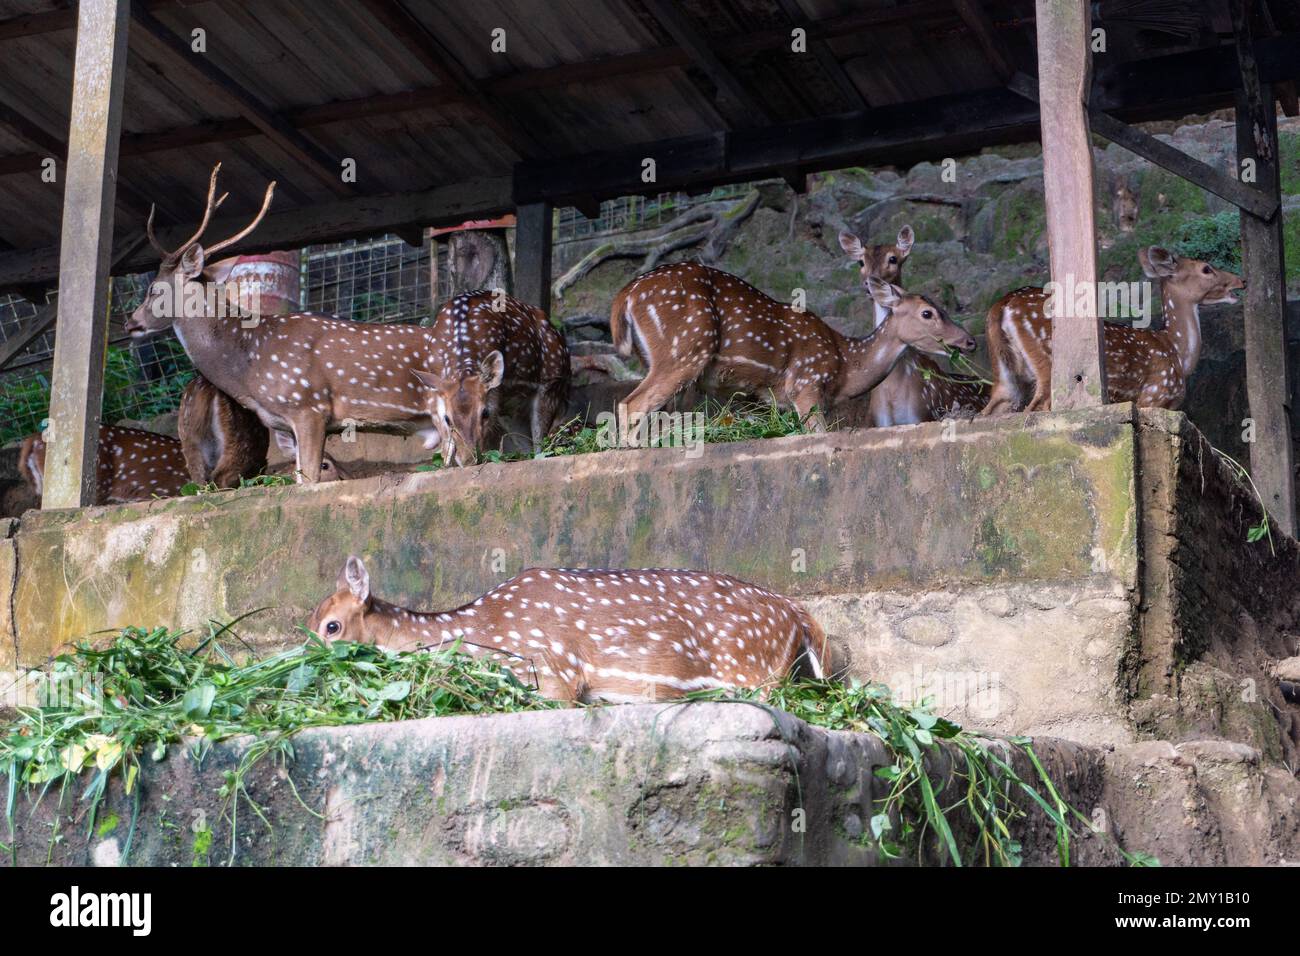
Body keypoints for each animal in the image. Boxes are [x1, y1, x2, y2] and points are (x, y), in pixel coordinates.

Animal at [308, 556, 830, 703]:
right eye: (310, 622)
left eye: (332, 626)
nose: (305, 657)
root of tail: (798, 614)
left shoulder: (554, 672)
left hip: (753, 669)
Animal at [411, 290, 570, 466]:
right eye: (447, 419)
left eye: (485, 412)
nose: (469, 460)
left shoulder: (496, 392)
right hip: (512, 406)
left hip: (552, 382)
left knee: (540, 441)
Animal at [607, 261, 976, 440]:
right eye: (928, 313)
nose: (969, 340)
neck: (844, 364)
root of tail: (625, 296)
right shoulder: (808, 382)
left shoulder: (772, 399)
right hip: (685, 349)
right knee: (630, 404)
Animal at [981, 246, 1245, 414]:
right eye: (1206, 268)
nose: (1241, 280)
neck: (1178, 353)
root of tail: (1002, 304)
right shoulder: (1153, 394)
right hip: (1048, 364)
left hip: (1004, 372)